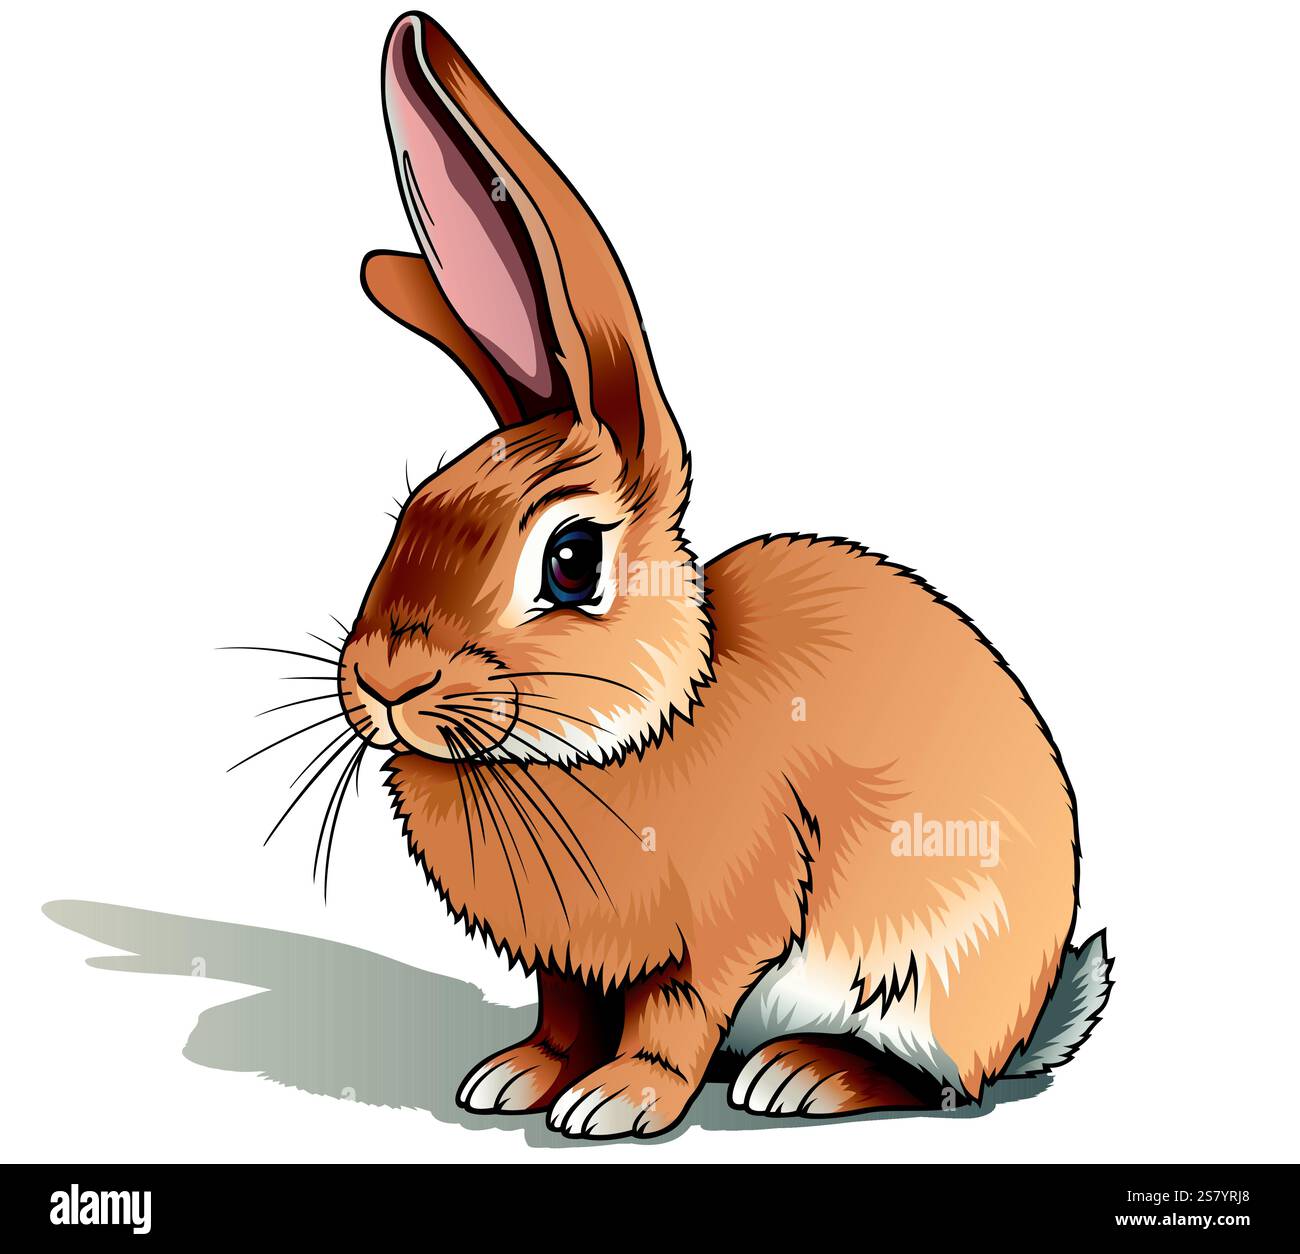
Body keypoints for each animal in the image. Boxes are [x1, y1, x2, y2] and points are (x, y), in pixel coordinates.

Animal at [332, 11, 1113, 1139]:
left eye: (571, 560)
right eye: (410, 515)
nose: (385, 682)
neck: (637, 727)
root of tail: (1033, 1017)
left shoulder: (726, 927)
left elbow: (678, 1014)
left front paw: (616, 1103)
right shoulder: (568, 961)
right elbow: (562, 1012)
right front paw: (516, 1077)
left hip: (927, 980)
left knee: (937, 1083)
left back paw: (801, 1076)